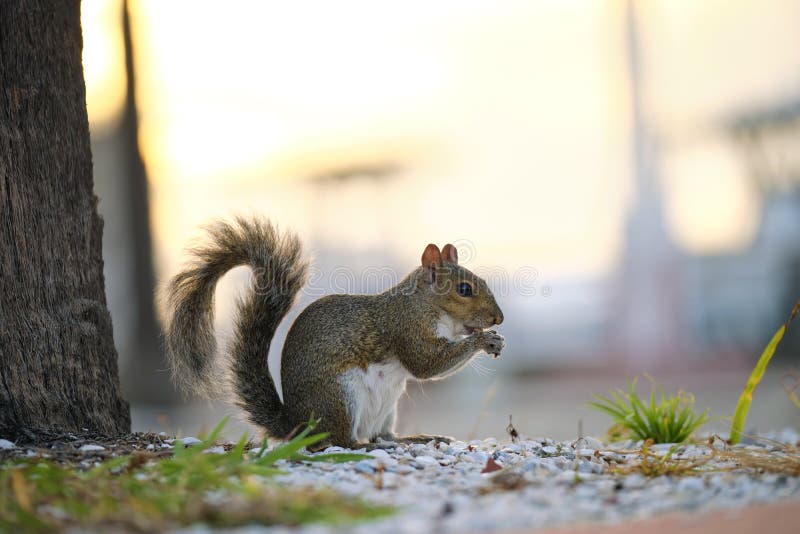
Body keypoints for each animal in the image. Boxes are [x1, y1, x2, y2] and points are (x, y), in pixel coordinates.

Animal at [163, 216, 505, 448]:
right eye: (464, 289)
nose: (498, 319)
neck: (424, 304)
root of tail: (298, 425)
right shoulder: (406, 327)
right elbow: (426, 364)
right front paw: (483, 339)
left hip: (387, 408)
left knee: (382, 435)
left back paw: (412, 439)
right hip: (340, 396)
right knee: (341, 440)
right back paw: (361, 445)